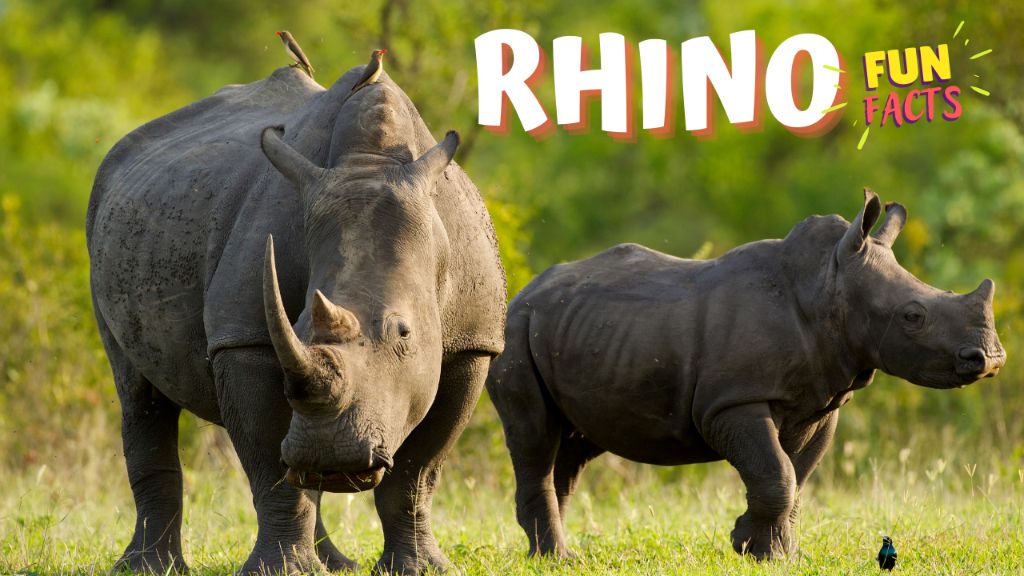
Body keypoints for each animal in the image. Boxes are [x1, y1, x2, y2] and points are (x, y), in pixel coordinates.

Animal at [87, 65, 505, 574]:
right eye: (299, 324)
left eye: (404, 332)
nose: (336, 456)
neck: (370, 162)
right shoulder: (244, 339)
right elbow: (272, 463)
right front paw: (280, 570)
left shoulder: (472, 343)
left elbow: (418, 471)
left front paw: (421, 569)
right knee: (138, 393)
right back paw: (149, 567)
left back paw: (336, 560)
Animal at [486, 189, 1004, 559]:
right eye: (913, 316)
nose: (991, 359)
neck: (828, 285)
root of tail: (523, 291)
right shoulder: (733, 400)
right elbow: (777, 473)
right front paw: (758, 550)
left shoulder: (820, 401)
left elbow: (794, 476)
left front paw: (769, 550)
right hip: (515, 333)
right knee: (535, 436)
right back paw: (556, 558)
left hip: (576, 329)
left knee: (571, 447)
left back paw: (554, 555)